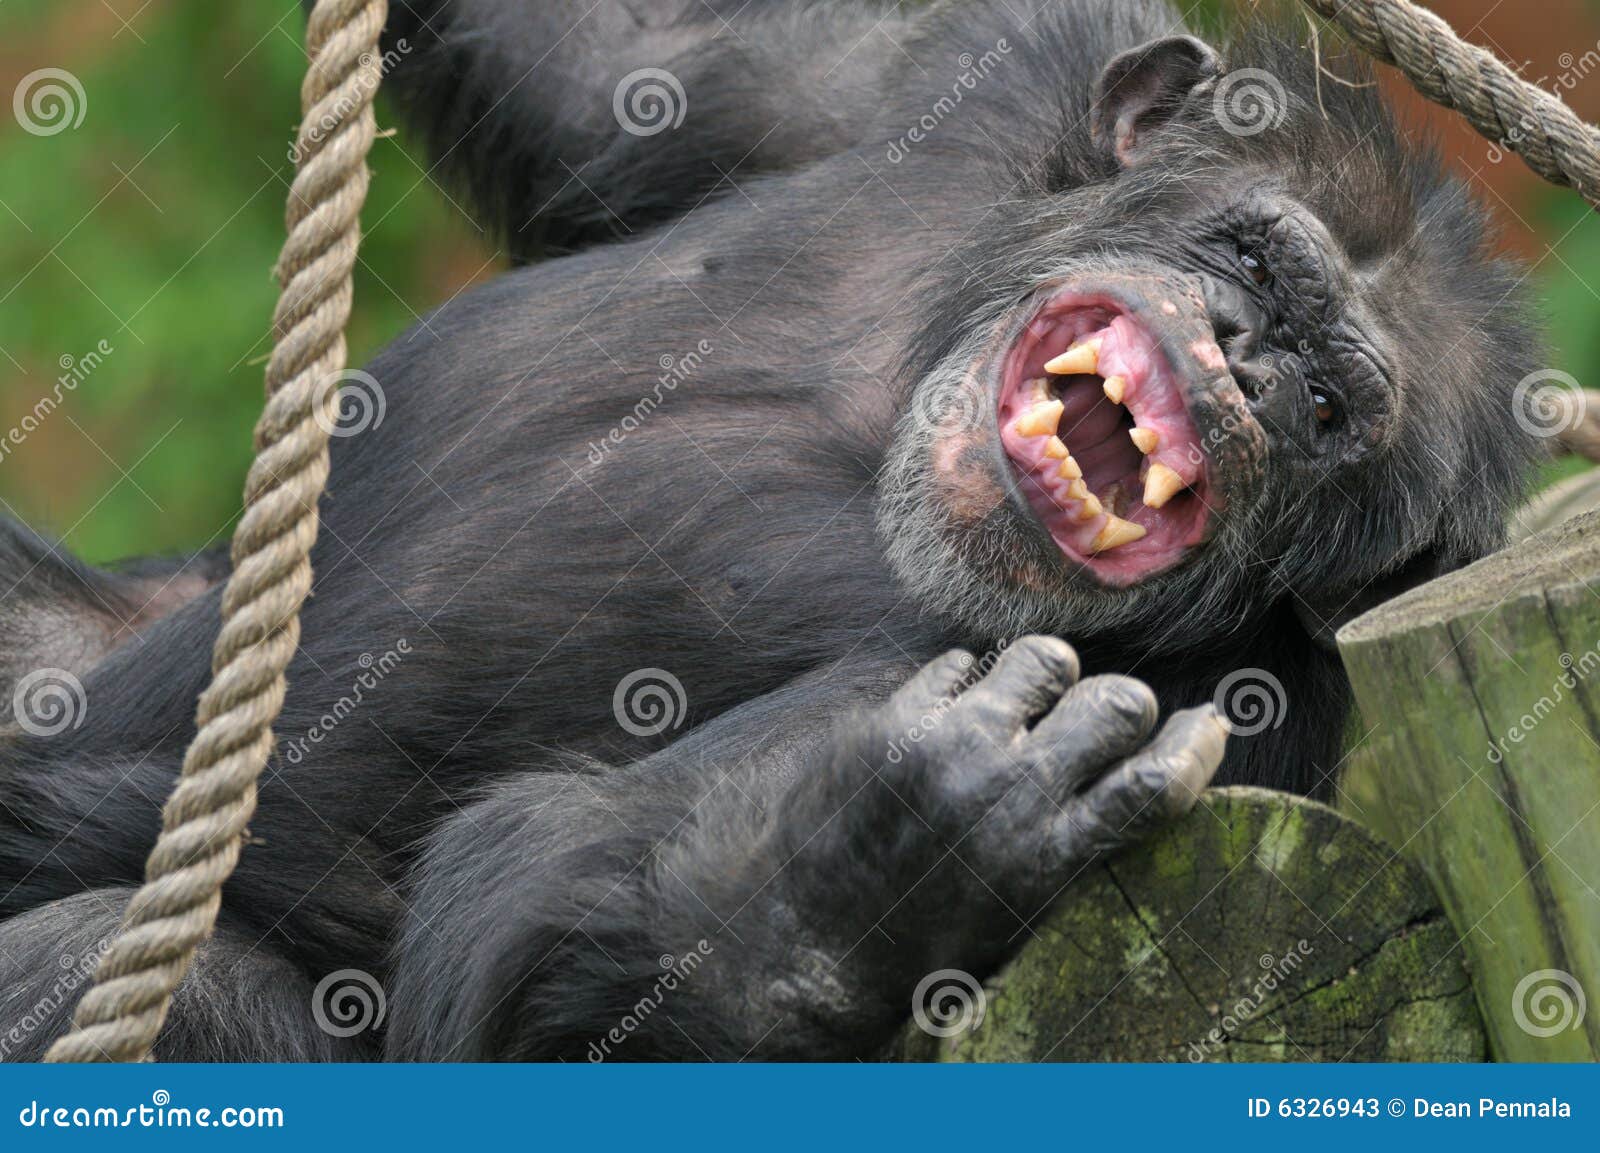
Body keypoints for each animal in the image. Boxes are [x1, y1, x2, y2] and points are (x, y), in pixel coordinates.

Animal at [0, 0, 1541, 1060]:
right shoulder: (970, 75)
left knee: (138, 974)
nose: (1250, 368)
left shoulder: (1227, 711)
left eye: (1335, 413)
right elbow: (620, 48)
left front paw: (876, 879)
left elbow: (534, 906)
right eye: (1251, 261)